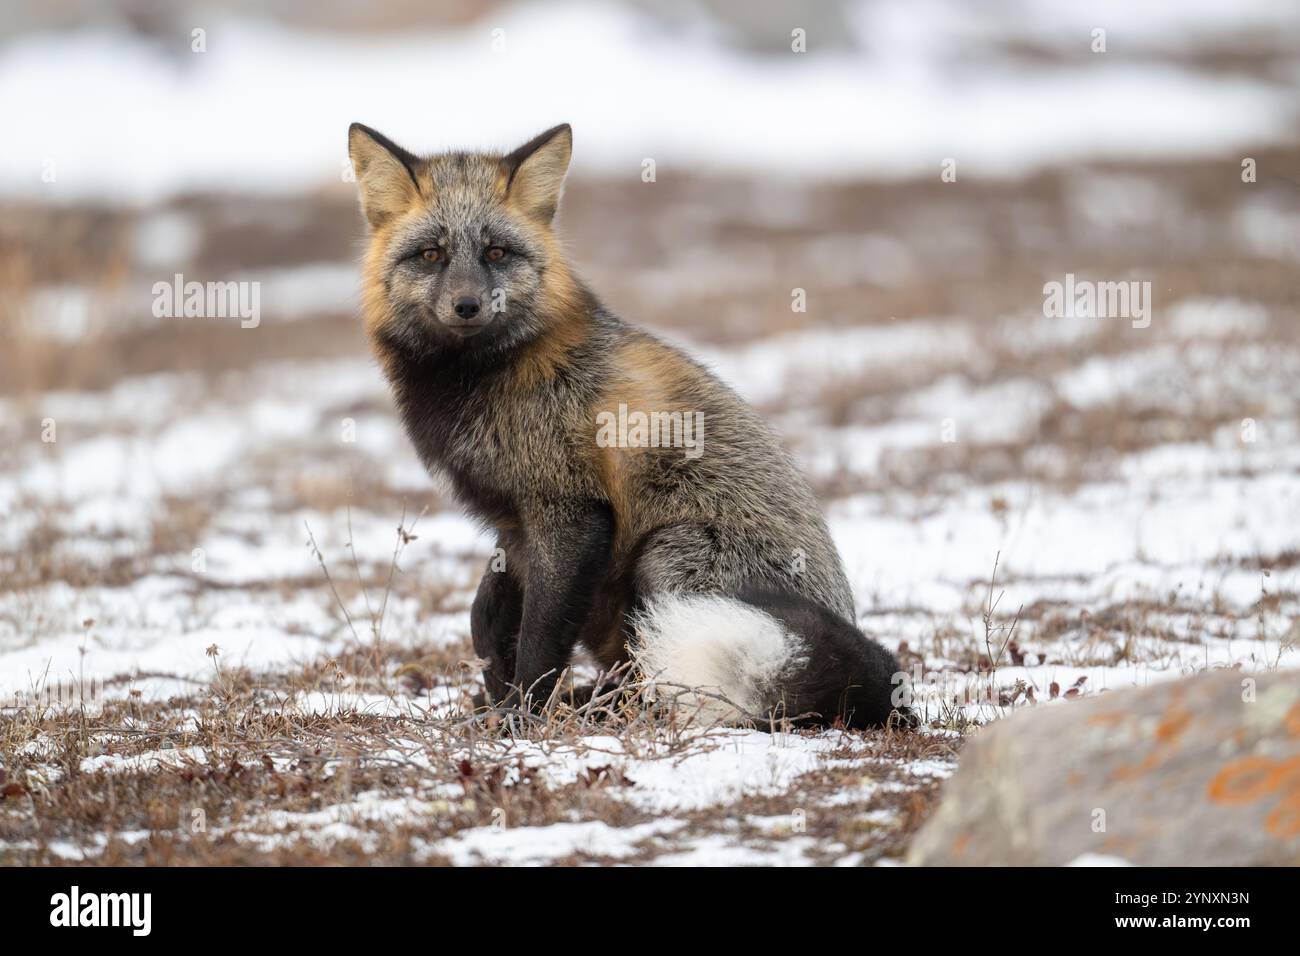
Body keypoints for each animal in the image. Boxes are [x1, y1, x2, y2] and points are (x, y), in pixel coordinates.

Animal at [347, 121, 911, 729]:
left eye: (495, 252)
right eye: (431, 254)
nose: (468, 305)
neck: (484, 378)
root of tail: (893, 704)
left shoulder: (570, 511)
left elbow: (540, 639)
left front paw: (523, 718)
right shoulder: (513, 521)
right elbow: (486, 614)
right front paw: (497, 691)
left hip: (668, 556)